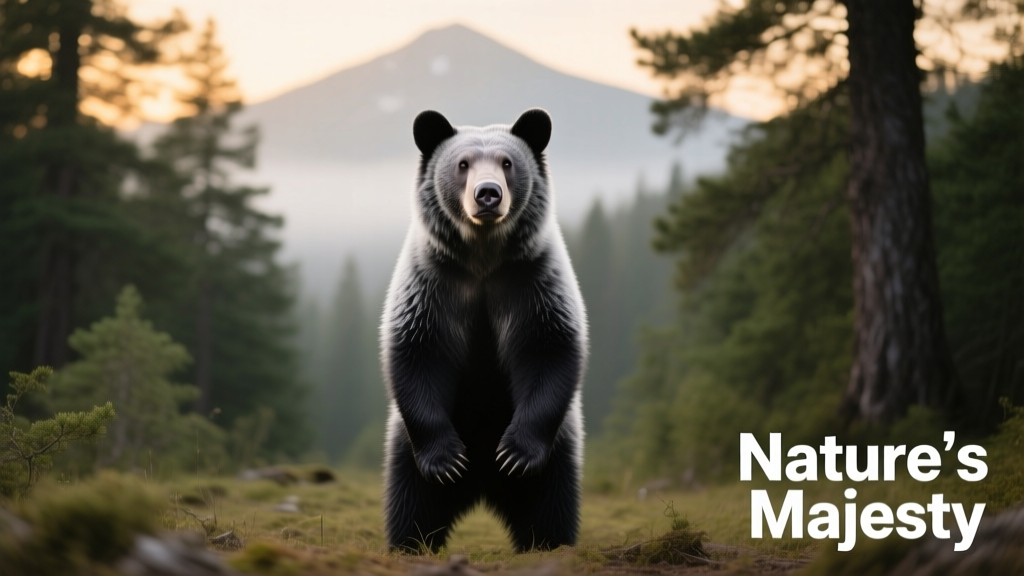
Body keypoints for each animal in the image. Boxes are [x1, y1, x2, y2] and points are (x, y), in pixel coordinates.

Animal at [379, 108, 588, 553]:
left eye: (507, 163)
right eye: (462, 164)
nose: (488, 194)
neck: (483, 259)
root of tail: (481, 490)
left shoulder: (532, 283)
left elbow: (550, 351)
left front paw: (514, 454)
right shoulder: (433, 286)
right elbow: (416, 354)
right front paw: (447, 461)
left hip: (559, 454)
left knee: (550, 506)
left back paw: (546, 542)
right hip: (404, 451)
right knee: (411, 504)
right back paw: (410, 542)